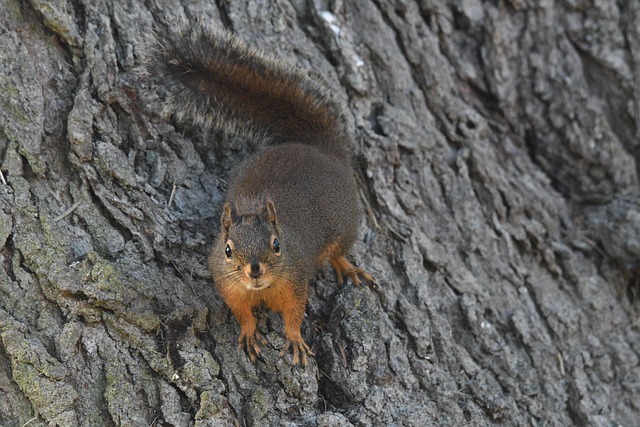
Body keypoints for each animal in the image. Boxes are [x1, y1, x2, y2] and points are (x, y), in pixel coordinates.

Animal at [151, 27, 375, 366]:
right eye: (227, 250)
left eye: (277, 245)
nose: (254, 269)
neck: (260, 289)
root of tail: (323, 150)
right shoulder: (229, 286)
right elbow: (241, 312)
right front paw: (249, 332)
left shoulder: (296, 280)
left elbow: (295, 313)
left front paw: (294, 338)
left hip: (345, 223)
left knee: (338, 251)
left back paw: (348, 267)